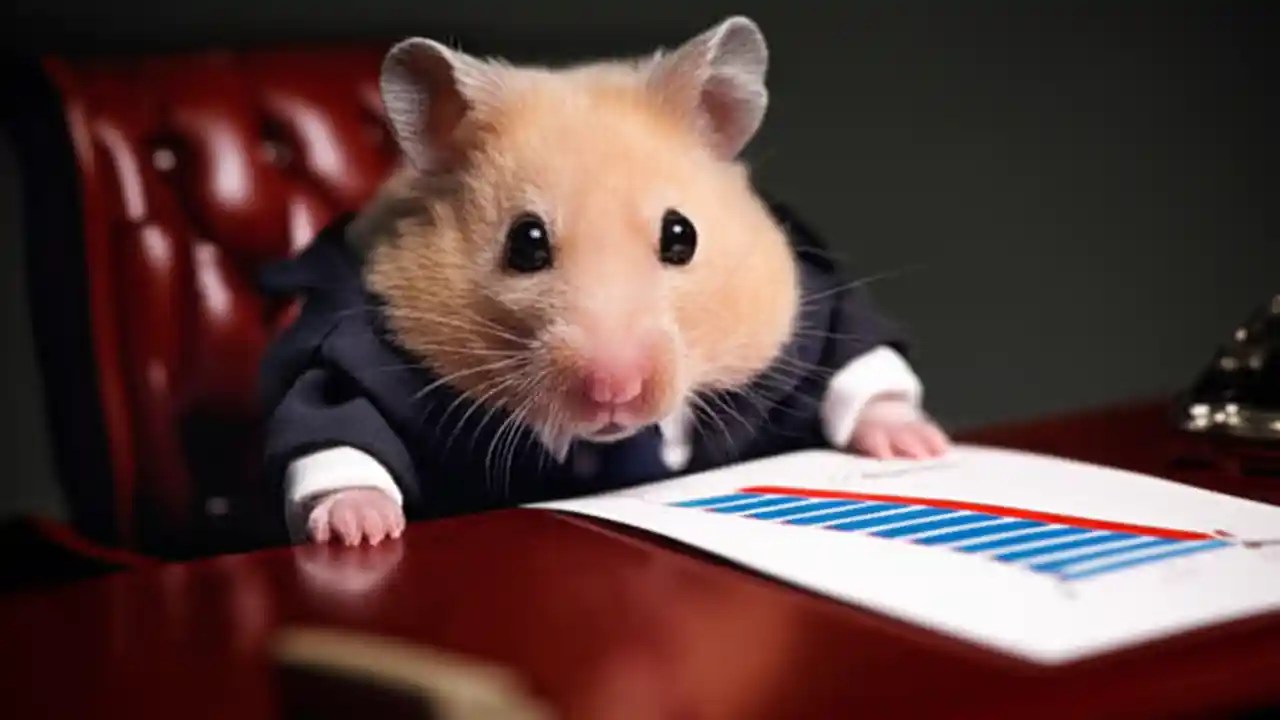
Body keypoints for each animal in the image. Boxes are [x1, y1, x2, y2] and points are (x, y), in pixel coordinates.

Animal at [258, 15, 949, 547]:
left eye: (681, 236)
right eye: (525, 243)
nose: (617, 390)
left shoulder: (807, 319)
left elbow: (853, 357)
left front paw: (921, 444)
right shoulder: (357, 353)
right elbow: (339, 426)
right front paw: (359, 530)